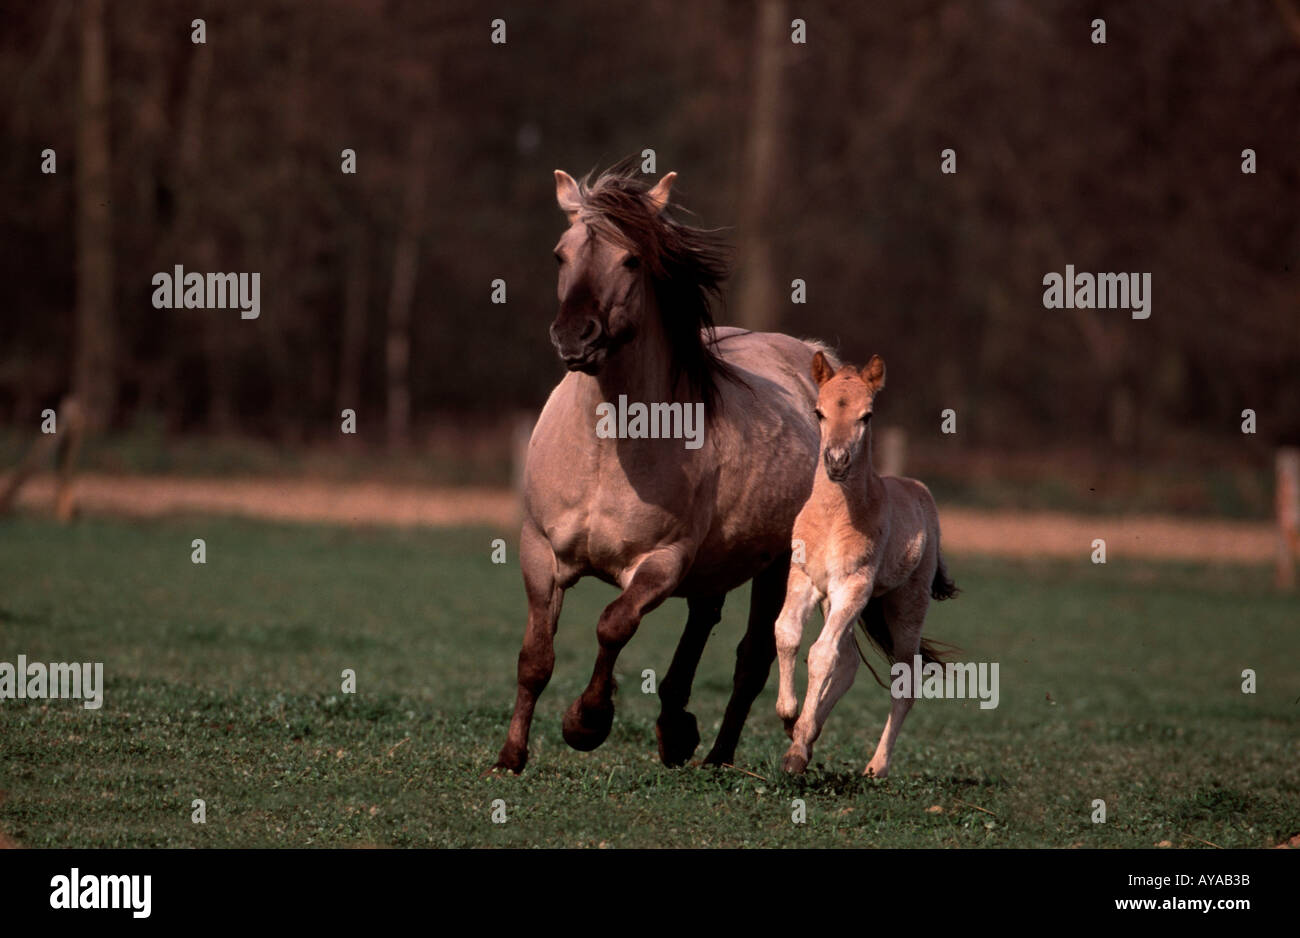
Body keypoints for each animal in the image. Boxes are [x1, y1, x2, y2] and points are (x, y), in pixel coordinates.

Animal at [491, 160, 834, 773]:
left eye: (631, 259)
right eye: (559, 254)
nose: (574, 336)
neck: (606, 453)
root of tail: (808, 357)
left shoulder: (662, 563)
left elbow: (612, 625)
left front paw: (586, 723)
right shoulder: (540, 552)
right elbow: (535, 658)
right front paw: (511, 756)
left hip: (774, 564)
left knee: (751, 659)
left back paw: (714, 755)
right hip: (718, 562)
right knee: (703, 622)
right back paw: (676, 730)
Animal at [774, 352, 958, 778]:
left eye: (867, 415)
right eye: (819, 411)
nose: (836, 462)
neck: (833, 518)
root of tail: (921, 493)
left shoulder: (853, 587)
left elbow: (821, 655)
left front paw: (796, 743)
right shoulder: (804, 580)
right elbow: (787, 634)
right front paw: (791, 721)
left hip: (905, 606)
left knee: (903, 681)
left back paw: (876, 766)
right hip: (835, 601)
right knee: (849, 662)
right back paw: (807, 737)